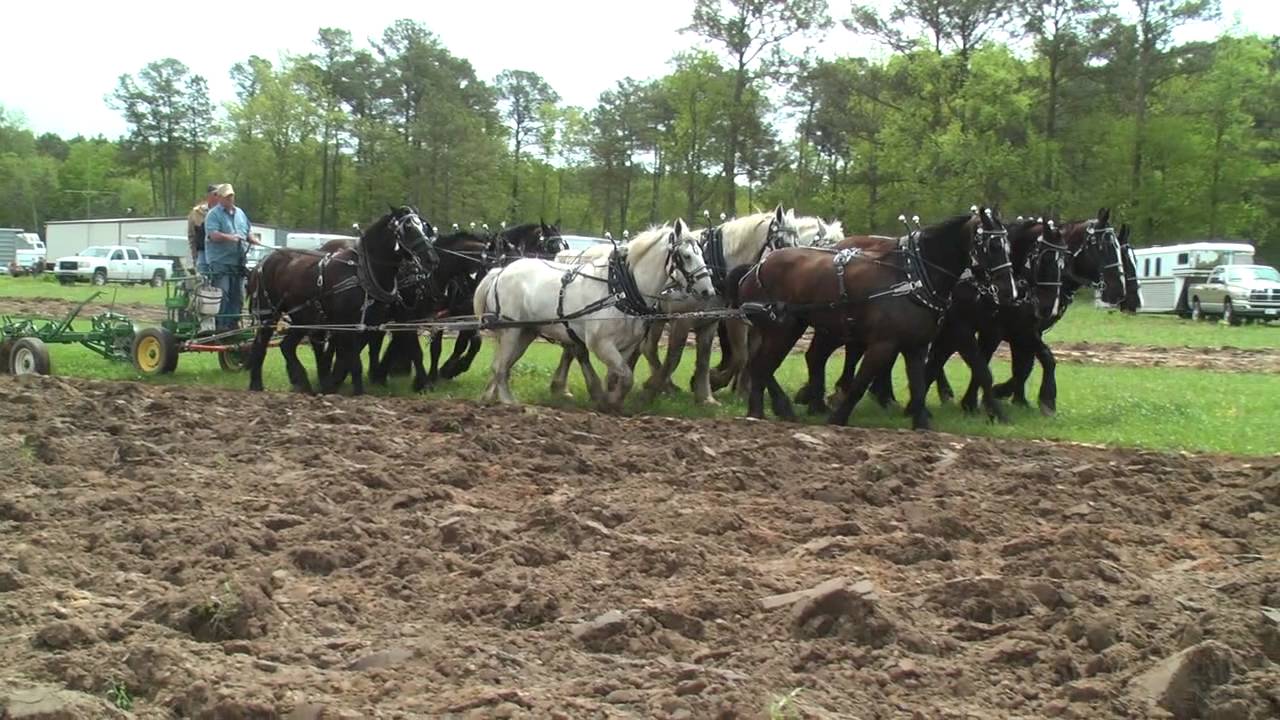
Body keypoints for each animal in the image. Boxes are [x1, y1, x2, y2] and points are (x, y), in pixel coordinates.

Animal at [245, 206, 436, 396]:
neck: (363, 273)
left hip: (304, 317)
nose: (431, 258)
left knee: (287, 346)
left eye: (424, 227)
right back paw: (257, 385)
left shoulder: (371, 324)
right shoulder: (348, 325)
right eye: (408, 228)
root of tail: (261, 263)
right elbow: (354, 362)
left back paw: (304, 384)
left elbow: (351, 358)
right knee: (261, 346)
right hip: (268, 314)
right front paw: (356, 392)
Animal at [472, 219, 716, 413]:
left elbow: (617, 377)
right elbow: (626, 376)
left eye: (702, 255)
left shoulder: (626, 346)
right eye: (686, 256)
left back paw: (489, 398)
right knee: (500, 367)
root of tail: (501, 271)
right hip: (511, 330)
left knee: (501, 365)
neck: (618, 290)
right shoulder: (601, 344)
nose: (708, 291)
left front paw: (608, 400)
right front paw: (610, 402)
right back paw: (509, 402)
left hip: (526, 332)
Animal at [728, 208, 1016, 430]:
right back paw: (767, 412)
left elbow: (920, 384)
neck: (912, 277)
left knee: (765, 365)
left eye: (1009, 246)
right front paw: (837, 419)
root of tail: (755, 268)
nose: (1008, 291)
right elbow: (861, 381)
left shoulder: (916, 345)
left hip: (799, 327)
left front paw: (922, 423)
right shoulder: (884, 343)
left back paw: (768, 411)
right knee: (763, 365)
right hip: (784, 329)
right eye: (991, 245)